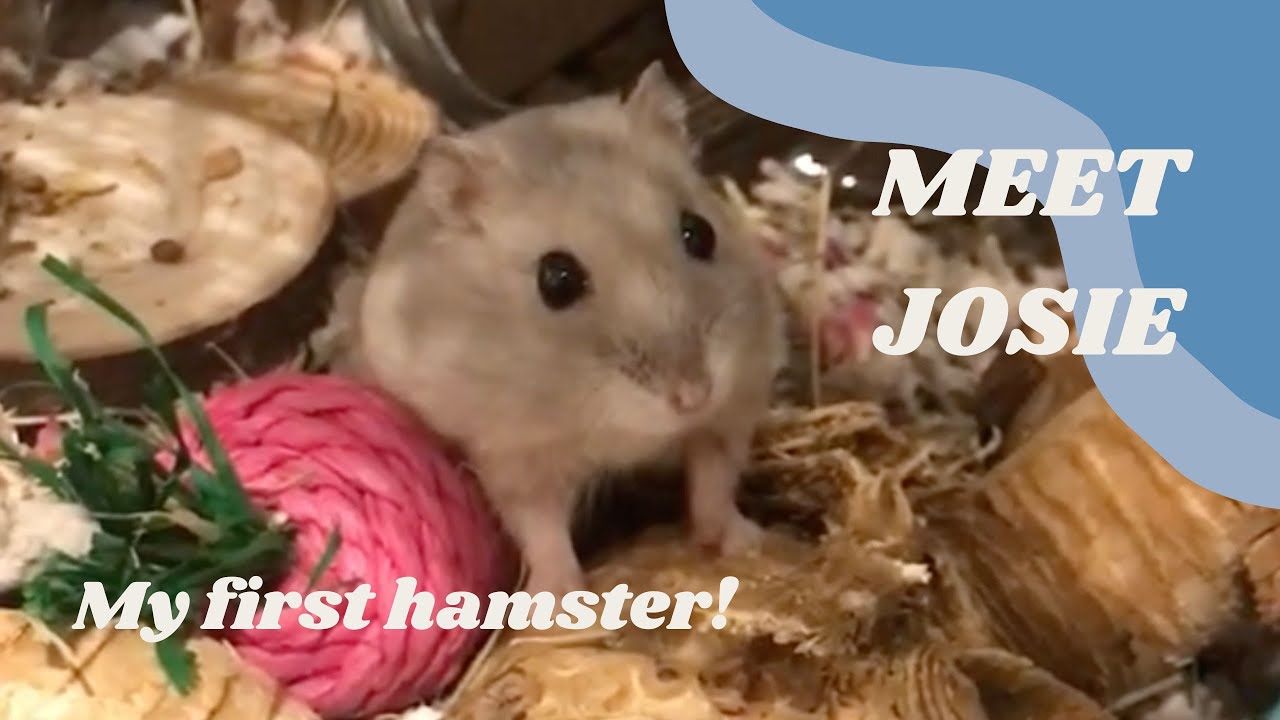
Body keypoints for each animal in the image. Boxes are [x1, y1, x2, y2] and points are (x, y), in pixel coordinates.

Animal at [355, 62, 784, 595]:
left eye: (700, 233)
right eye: (556, 279)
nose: (693, 396)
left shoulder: (733, 404)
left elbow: (714, 477)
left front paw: (738, 541)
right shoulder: (512, 454)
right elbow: (542, 530)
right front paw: (557, 597)